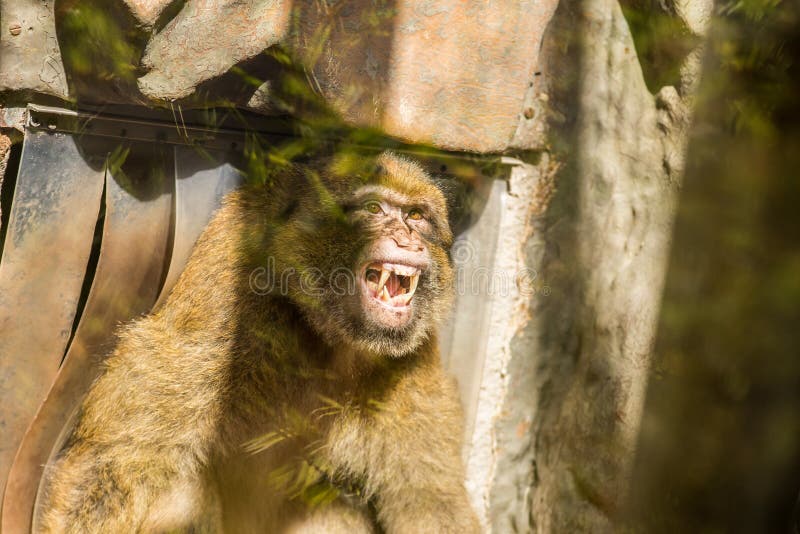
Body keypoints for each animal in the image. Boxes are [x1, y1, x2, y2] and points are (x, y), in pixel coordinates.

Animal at [39, 150, 481, 533]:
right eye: (374, 209)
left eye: (416, 216)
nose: (409, 241)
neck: (327, 337)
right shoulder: (229, 304)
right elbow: (120, 461)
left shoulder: (412, 358)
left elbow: (428, 499)